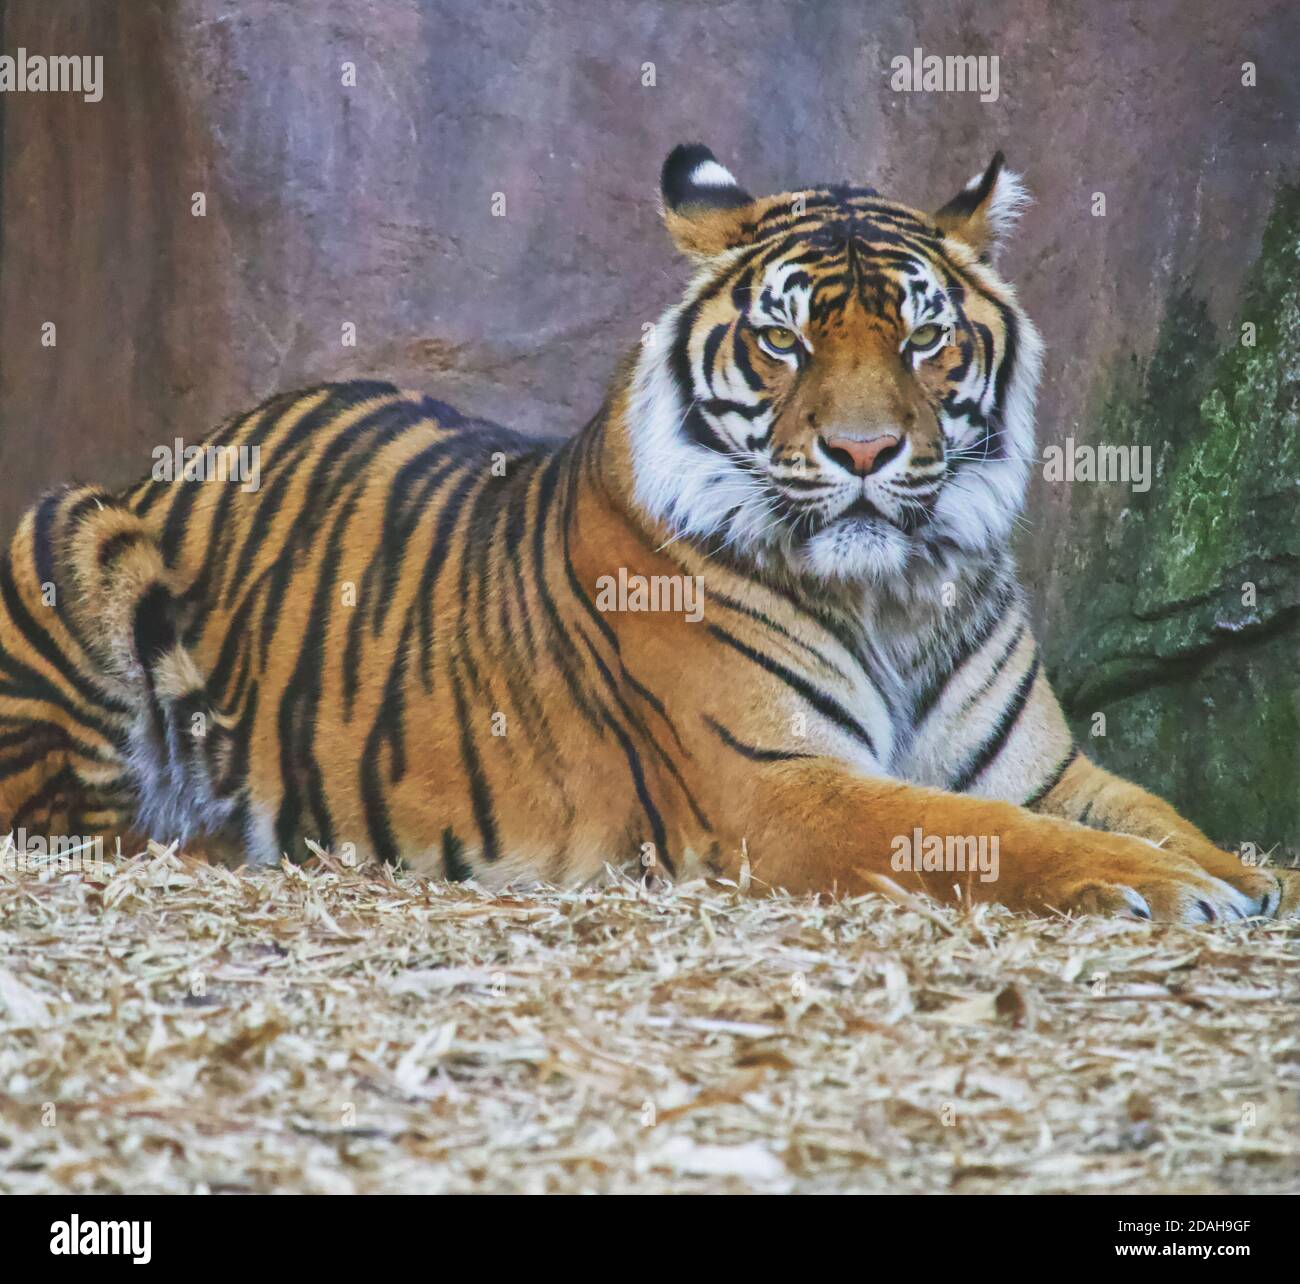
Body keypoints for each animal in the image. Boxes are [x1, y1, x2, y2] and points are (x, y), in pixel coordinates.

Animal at [0, 142, 1289, 924]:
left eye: (924, 340)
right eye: (785, 341)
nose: (864, 453)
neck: (896, 596)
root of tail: (204, 440)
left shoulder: (1048, 768)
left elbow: (1158, 811)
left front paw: (1236, 874)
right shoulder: (778, 787)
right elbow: (977, 834)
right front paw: (1170, 890)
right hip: (71, 528)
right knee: (88, 826)